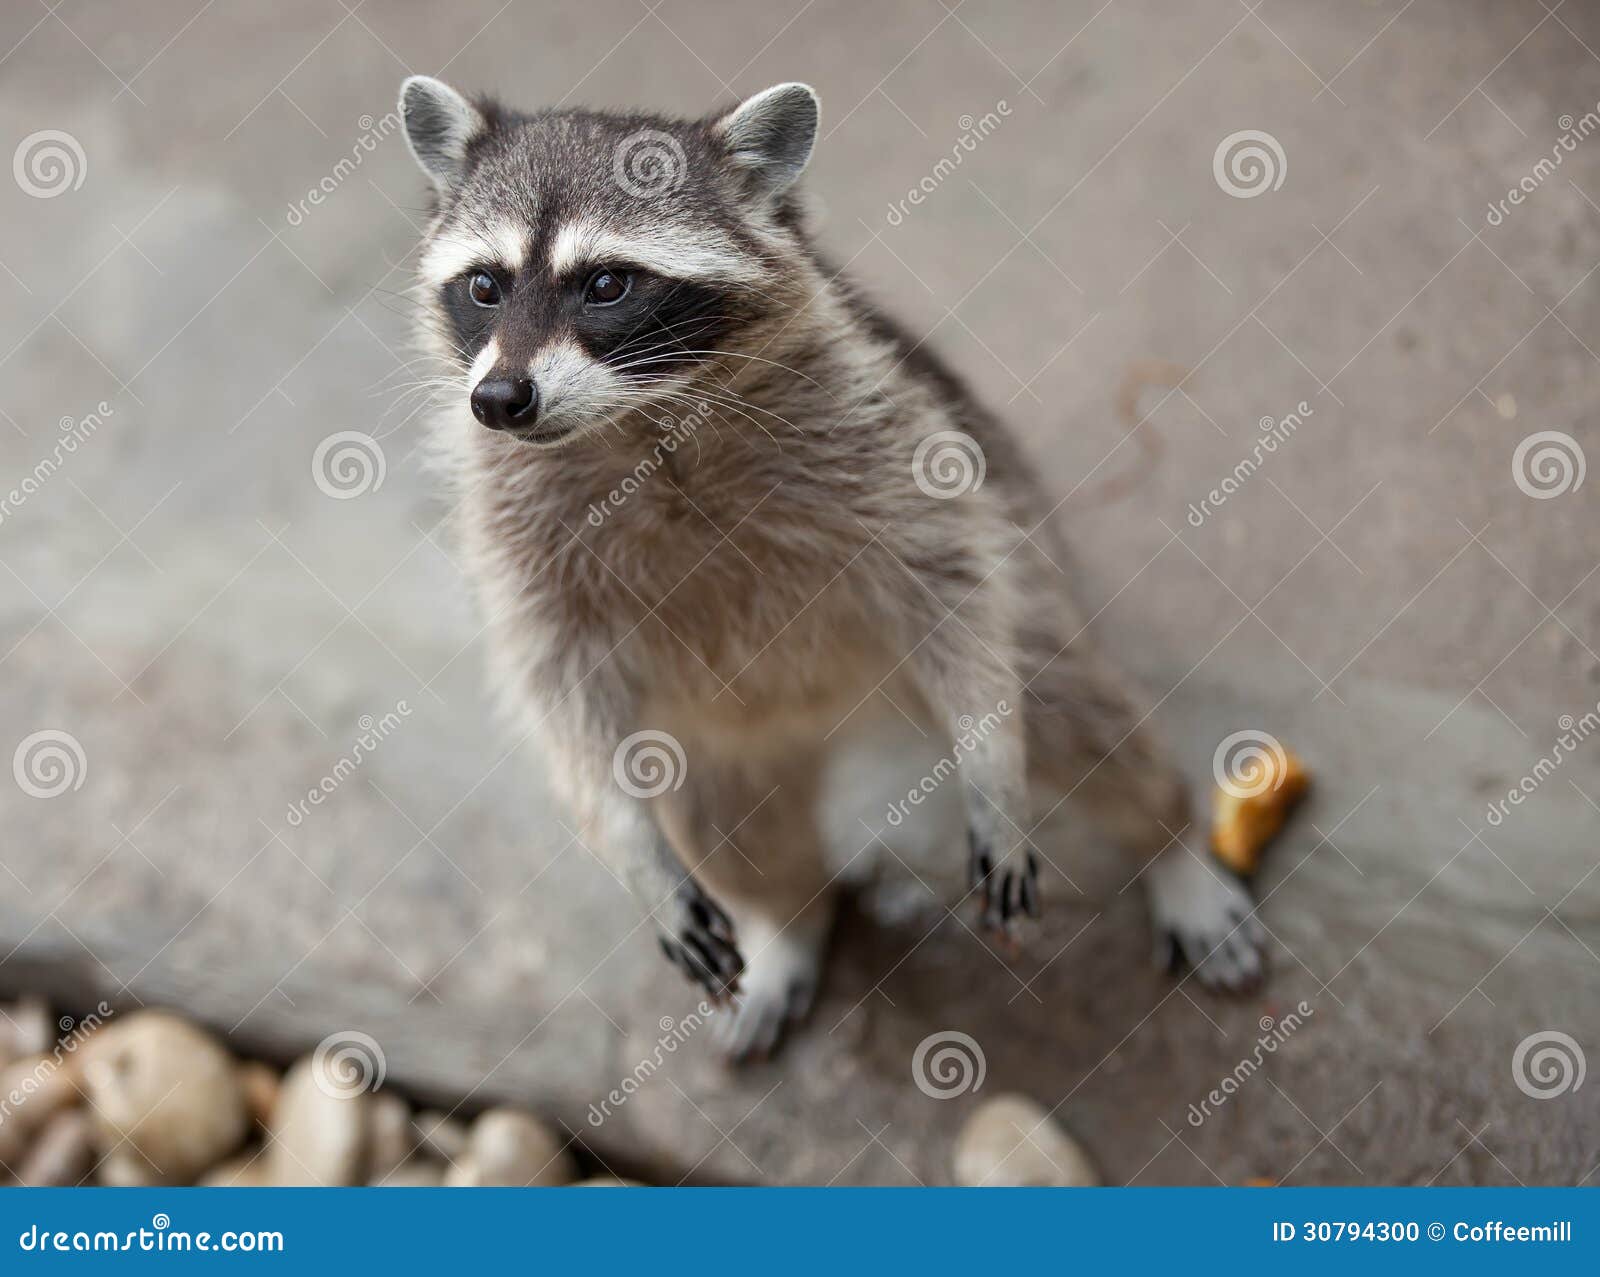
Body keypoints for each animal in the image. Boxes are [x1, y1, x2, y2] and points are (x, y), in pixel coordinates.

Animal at [397, 76, 1266, 1059]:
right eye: (484, 285)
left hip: (1023, 590)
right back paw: (789, 917)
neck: (638, 421)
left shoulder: (869, 421)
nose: (500, 399)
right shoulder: (514, 527)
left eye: (607, 284)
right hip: (712, 741)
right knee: (729, 833)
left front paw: (996, 769)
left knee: (1078, 718)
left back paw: (1169, 843)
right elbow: (556, 688)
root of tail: (836, 716)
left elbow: (945, 565)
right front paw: (630, 845)